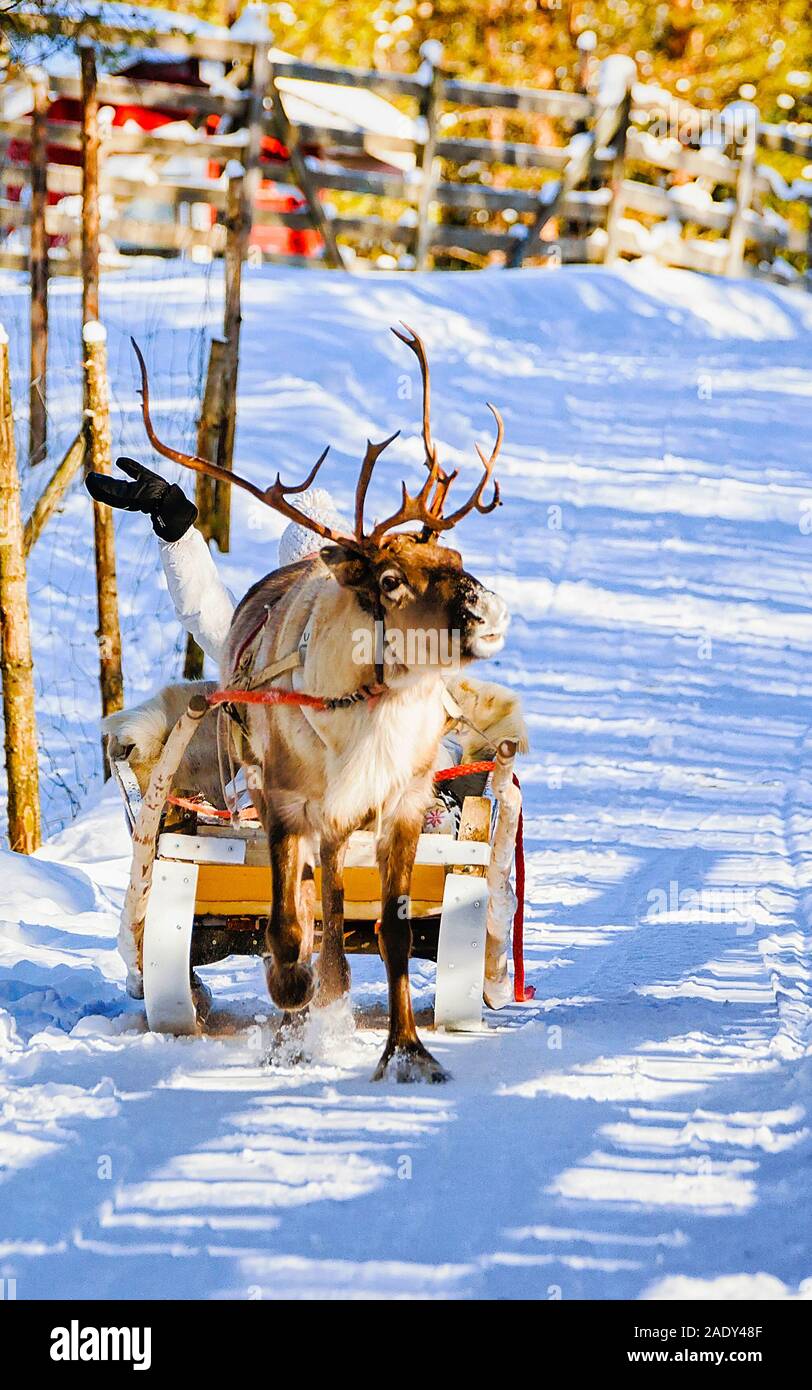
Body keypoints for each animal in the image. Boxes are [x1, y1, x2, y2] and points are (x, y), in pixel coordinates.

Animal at [132, 325, 509, 1082]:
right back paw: (303, 1010)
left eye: (455, 559)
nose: (485, 608)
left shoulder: (400, 801)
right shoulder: (285, 801)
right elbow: (285, 926)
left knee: (333, 899)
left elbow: (392, 930)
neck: (364, 715)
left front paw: (408, 1050)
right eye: (389, 580)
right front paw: (296, 1001)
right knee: (308, 905)